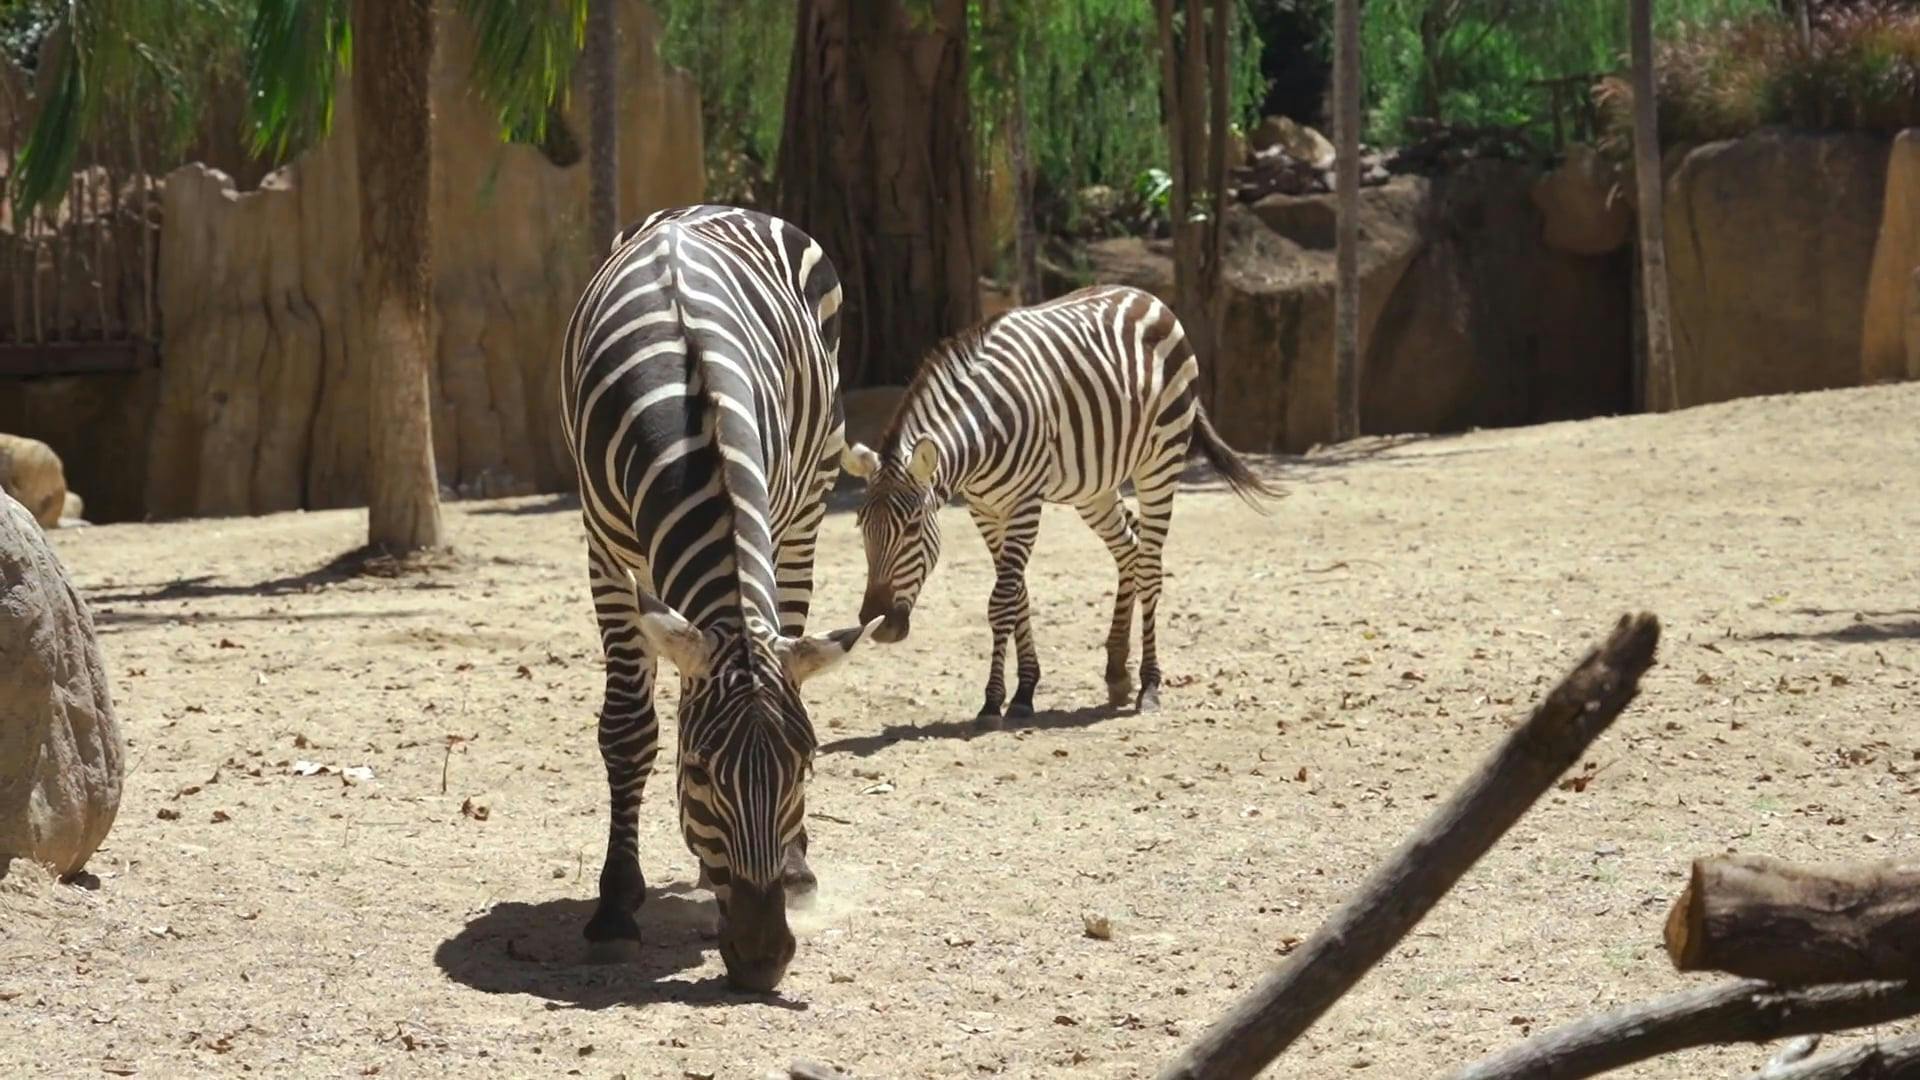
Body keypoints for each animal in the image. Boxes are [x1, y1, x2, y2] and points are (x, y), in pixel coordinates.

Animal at [560, 204, 881, 992]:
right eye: (703, 773)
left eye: (805, 766)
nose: (763, 962)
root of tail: (701, 208)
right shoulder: (603, 549)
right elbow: (629, 728)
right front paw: (615, 906)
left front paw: (790, 862)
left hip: (807, 502)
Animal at [839, 284, 1274, 726]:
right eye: (862, 527)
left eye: (912, 527)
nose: (878, 625)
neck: (983, 431)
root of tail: (1145, 295)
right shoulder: (985, 510)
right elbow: (1018, 595)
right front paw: (1025, 690)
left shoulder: (1025, 503)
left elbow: (1002, 600)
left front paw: (993, 701)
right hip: (1095, 487)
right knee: (1131, 550)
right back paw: (1118, 672)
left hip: (1160, 460)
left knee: (1150, 564)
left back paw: (1149, 686)